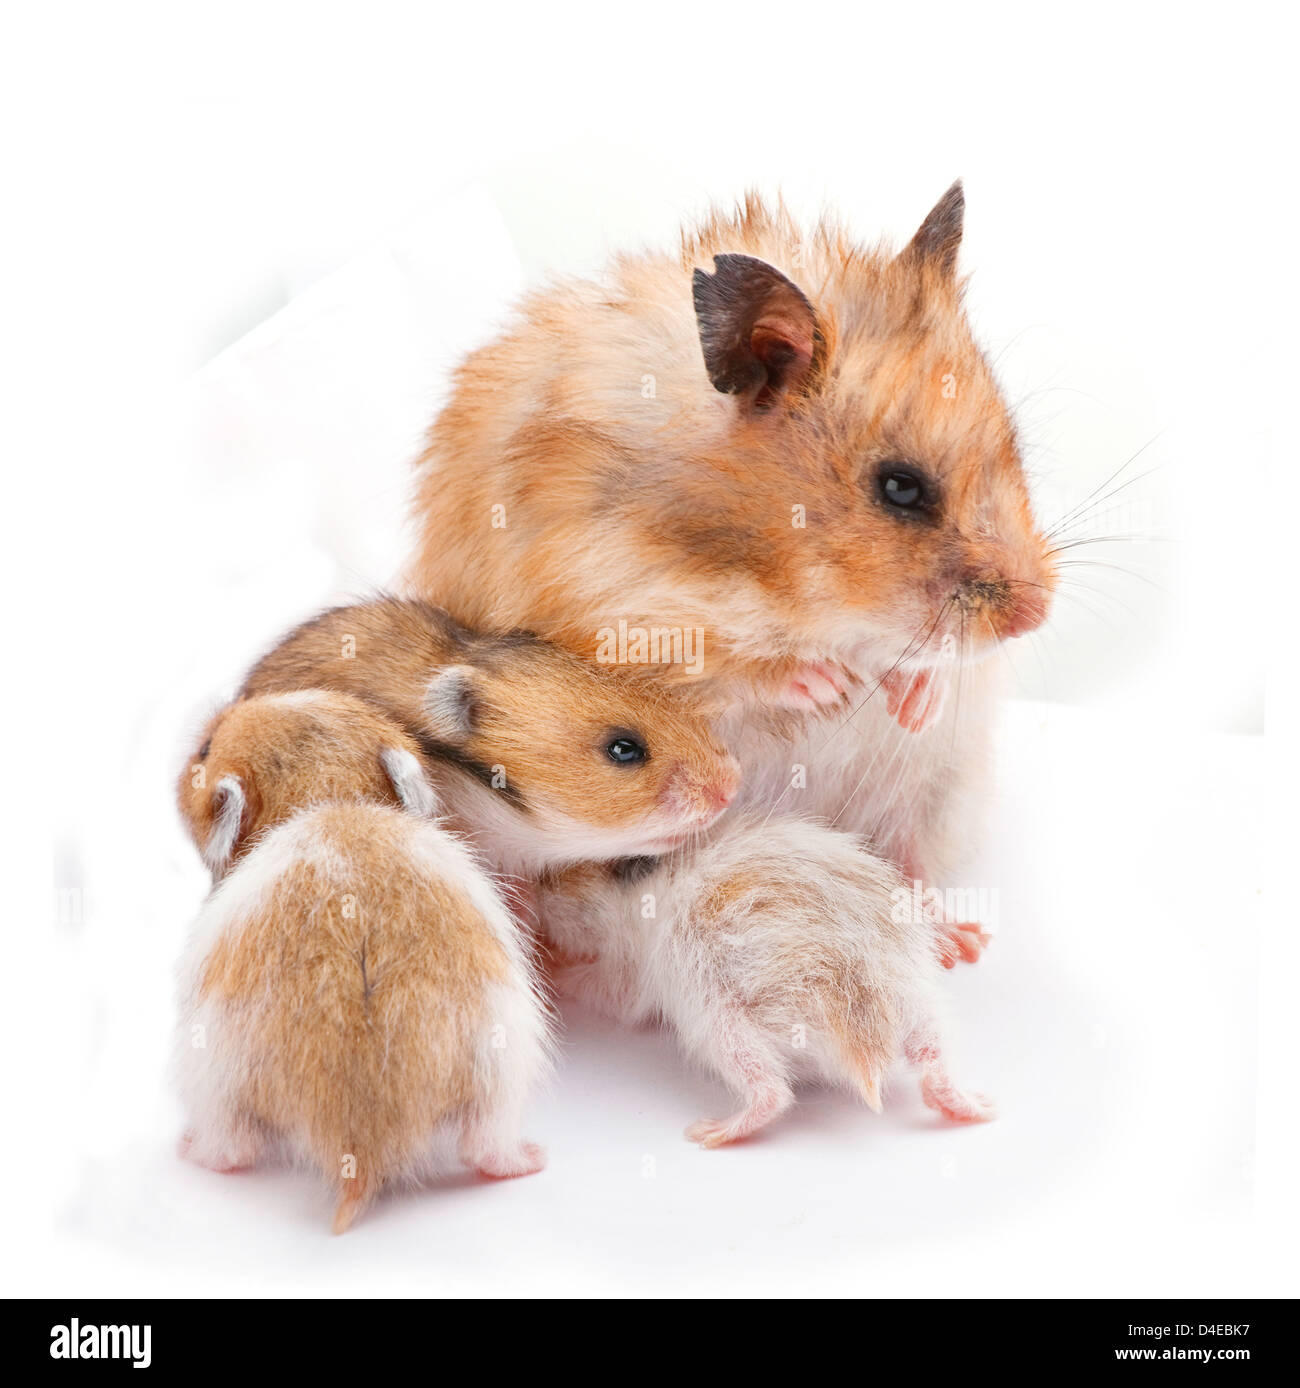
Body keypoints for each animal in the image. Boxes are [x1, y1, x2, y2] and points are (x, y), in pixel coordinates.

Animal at [175, 690, 552, 1232]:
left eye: (206, 750)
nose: (214, 711)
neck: (335, 802)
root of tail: (358, 1146)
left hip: (211, 1073)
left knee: (230, 1149)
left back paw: (187, 1148)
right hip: (502, 1065)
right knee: (487, 1146)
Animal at [404, 185, 1055, 948]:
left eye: (1013, 443)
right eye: (900, 488)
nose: (1036, 615)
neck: (784, 578)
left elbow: (927, 665)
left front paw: (913, 697)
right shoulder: (607, 603)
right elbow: (731, 663)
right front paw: (827, 686)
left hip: (934, 787)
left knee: (909, 858)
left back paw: (958, 944)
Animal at [541, 816, 992, 1147]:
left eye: (592, 874)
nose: (544, 887)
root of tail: (864, 1045)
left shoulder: (632, 975)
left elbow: (601, 989)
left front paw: (550, 960)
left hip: (715, 1018)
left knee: (772, 1093)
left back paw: (711, 1133)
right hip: (917, 1001)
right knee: (933, 1063)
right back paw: (978, 1107)